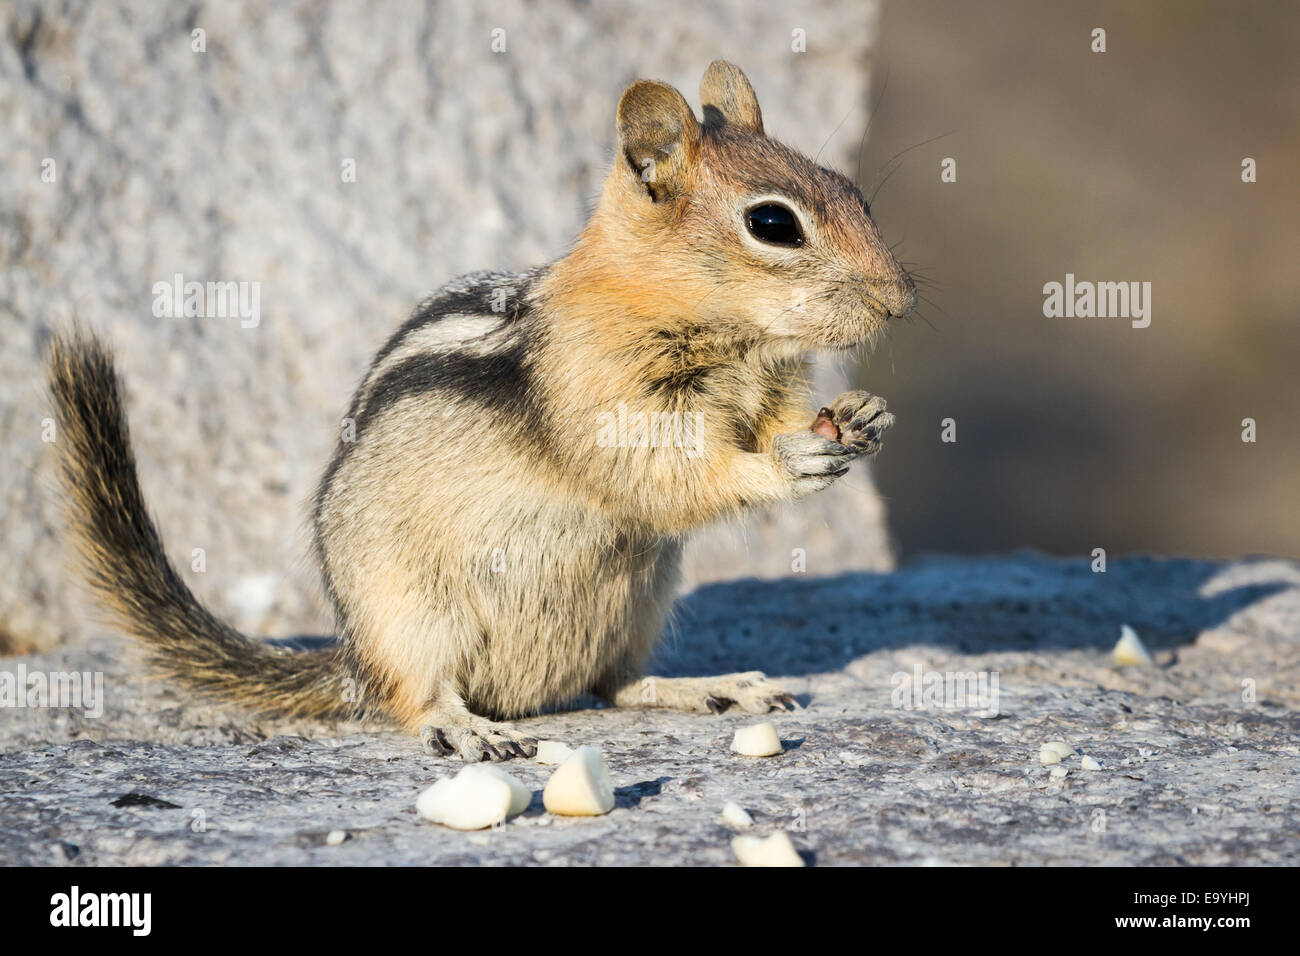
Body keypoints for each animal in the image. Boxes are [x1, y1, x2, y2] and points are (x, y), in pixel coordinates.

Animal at [46, 61, 915, 761]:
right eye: (773, 223)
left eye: (854, 193)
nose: (900, 300)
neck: (735, 341)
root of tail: (350, 660)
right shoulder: (606, 398)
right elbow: (671, 471)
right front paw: (790, 461)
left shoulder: (769, 385)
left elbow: (770, 422)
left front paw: (861, 412)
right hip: (409, 616)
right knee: (414, 696)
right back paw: (464, 726)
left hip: (638, 602)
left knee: (616, 684)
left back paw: (713, 686)